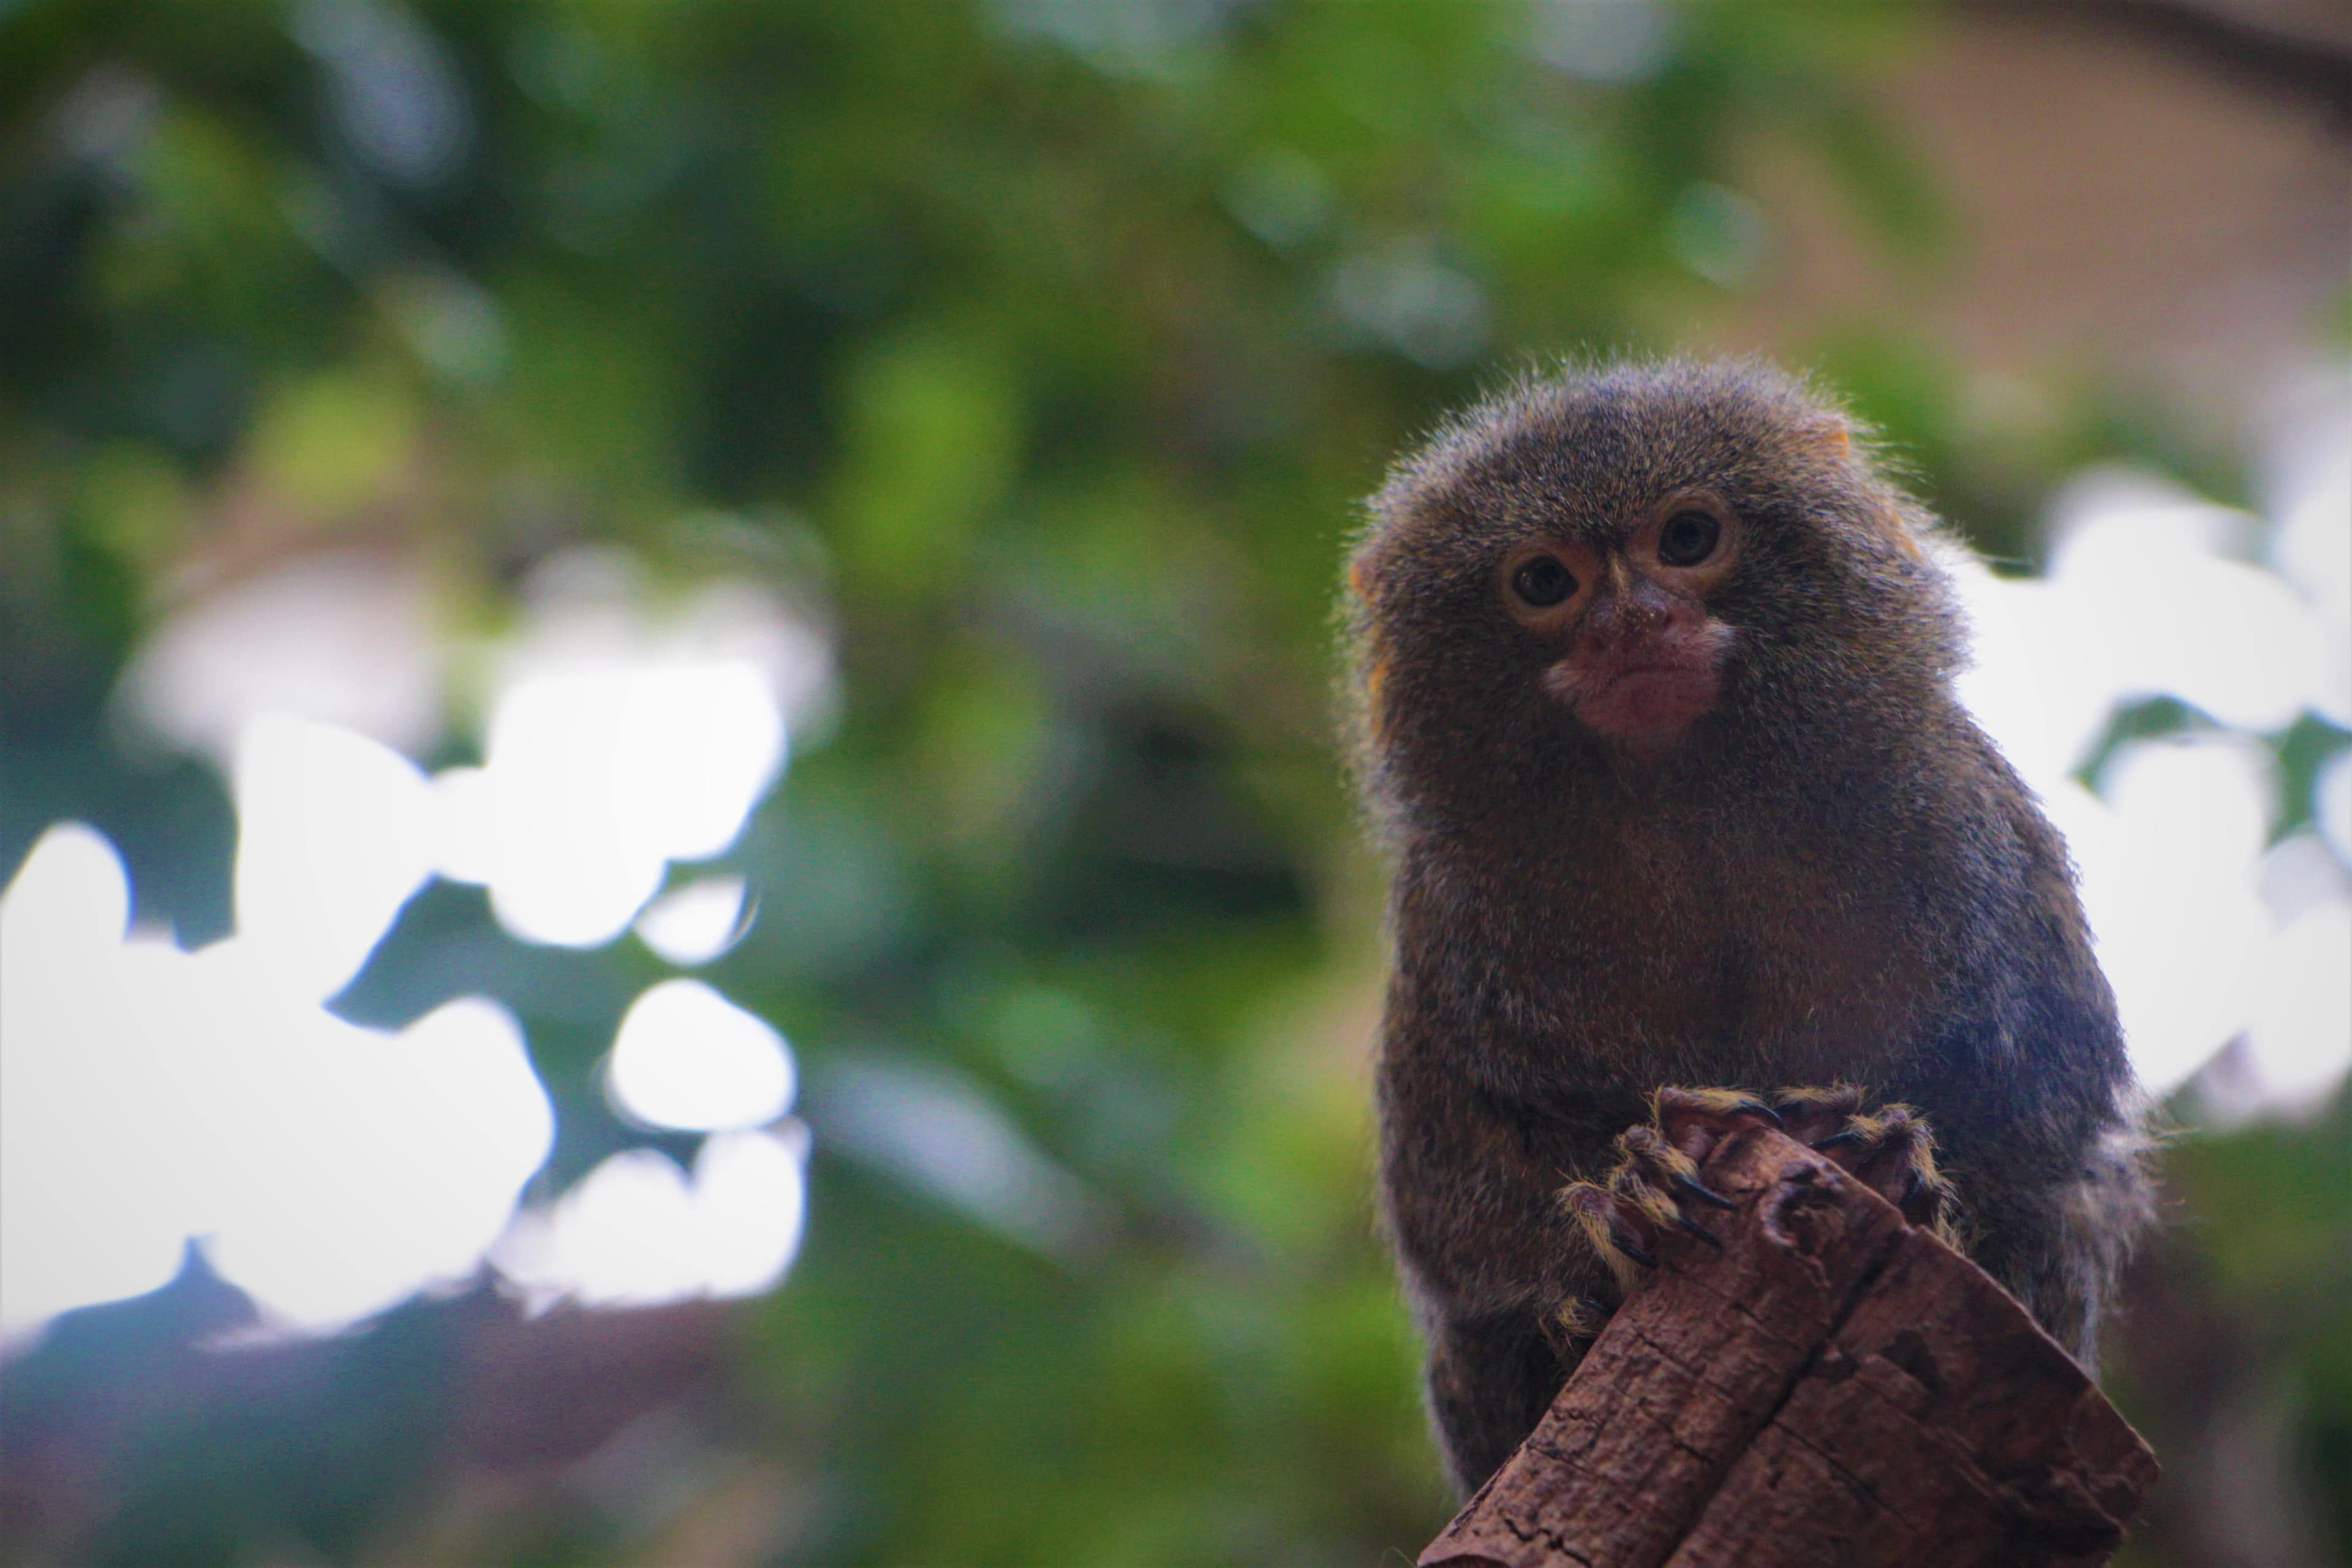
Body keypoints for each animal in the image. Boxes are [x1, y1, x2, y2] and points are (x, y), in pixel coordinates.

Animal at [1342, 359, 2152, 1500]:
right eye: (1544, 583)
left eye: (1687, 539)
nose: (1633, 623)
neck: (1692, 798)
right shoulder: (1448, 923)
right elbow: (1457, 1213)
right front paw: (1629, 1206)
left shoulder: (1975, 830)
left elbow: (2048, 1124)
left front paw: (1904, 1169)